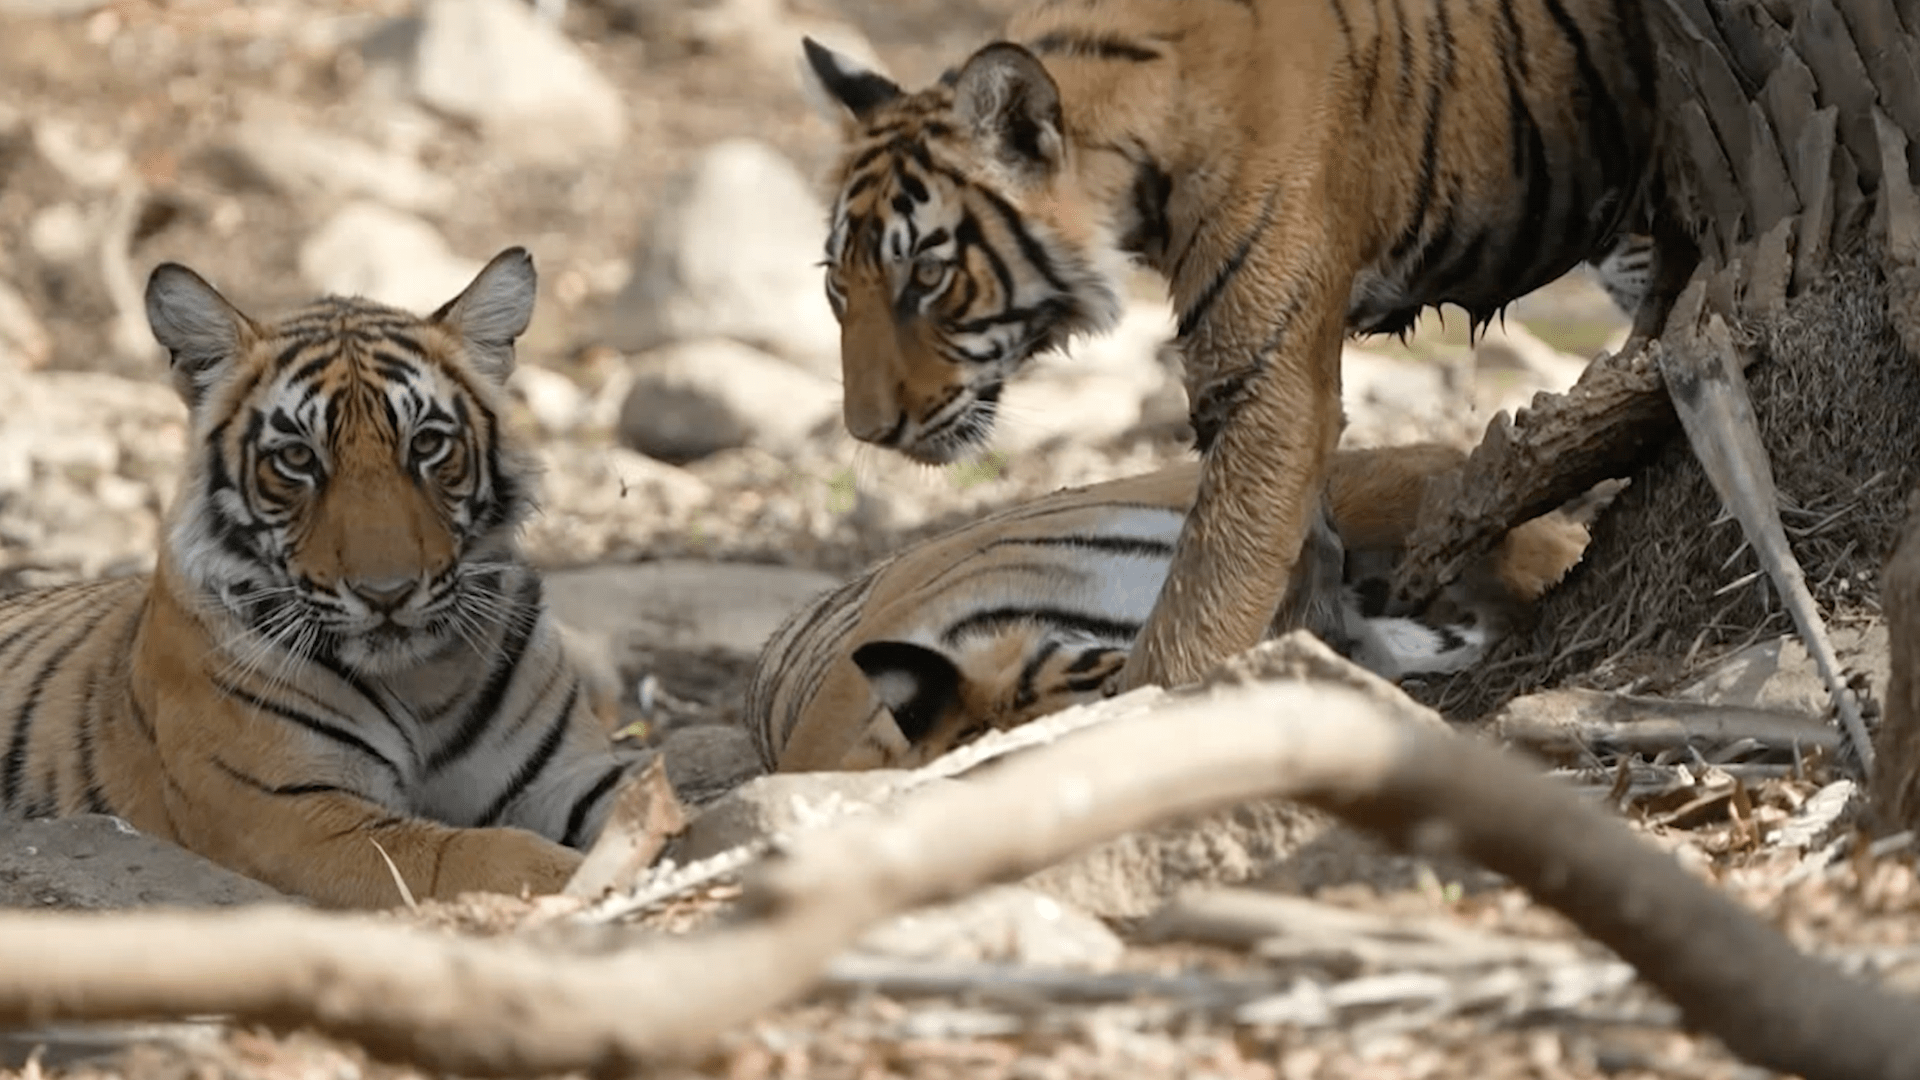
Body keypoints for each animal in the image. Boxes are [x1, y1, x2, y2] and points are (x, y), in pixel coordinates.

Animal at [0, 249, 648, 909]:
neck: (423, 681)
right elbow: (479, 854)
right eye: (297, 458)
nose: (387, 594)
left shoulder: (570, 774)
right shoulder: (288, 817)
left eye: (428, 444)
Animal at [801, 0, 1676, 695]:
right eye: (838, 286)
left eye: (928, 276)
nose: (867, 431)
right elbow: (1289, 559)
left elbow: (1208, 588)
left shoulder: (1267, 381)